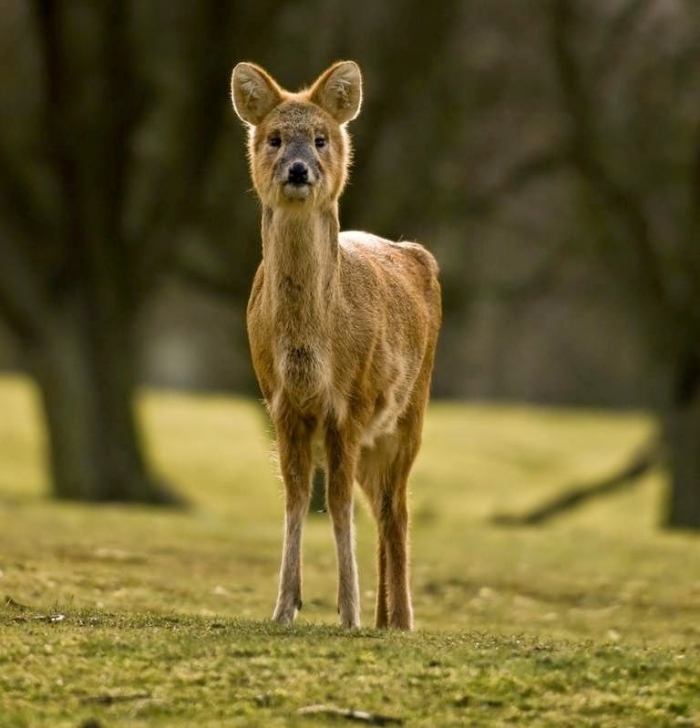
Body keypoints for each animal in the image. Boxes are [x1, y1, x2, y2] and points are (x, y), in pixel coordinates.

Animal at [230, 60, 441, 630]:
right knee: (381, 504)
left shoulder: (349, 400)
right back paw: (386, 617)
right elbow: (297, 495)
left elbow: (338, 502)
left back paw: (401, 619)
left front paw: (347, 612)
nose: (299, 170)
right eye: (275, 139)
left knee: (396, 507)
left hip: (410, 410)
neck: (311, 347)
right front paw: (285, 607)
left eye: (321, 138)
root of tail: (419, 255)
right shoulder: (279, 400)